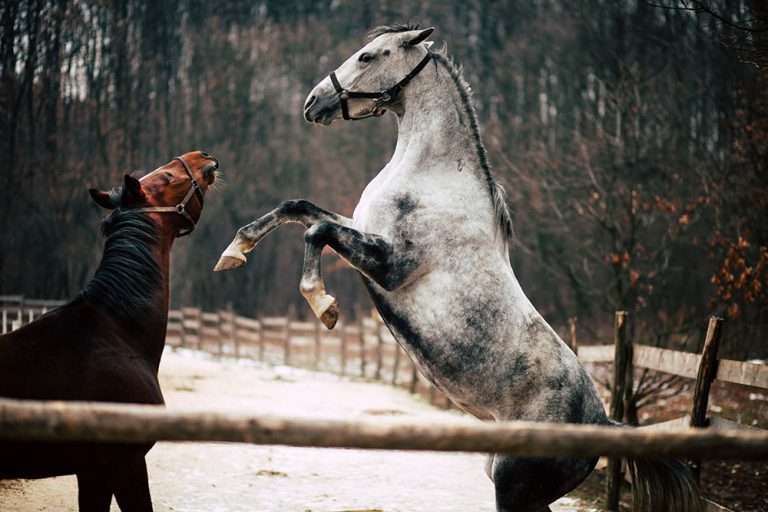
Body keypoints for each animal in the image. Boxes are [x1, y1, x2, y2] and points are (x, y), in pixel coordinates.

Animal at [214, 25, 702, 511]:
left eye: (368, 56)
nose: (313, 103)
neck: (433, 177)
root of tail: (602, 424)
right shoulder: (362, 231)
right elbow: (298, 208)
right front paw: (236, 249)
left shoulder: (391, 265)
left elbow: (316, 232)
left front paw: (323, 304)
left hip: (512, 485)